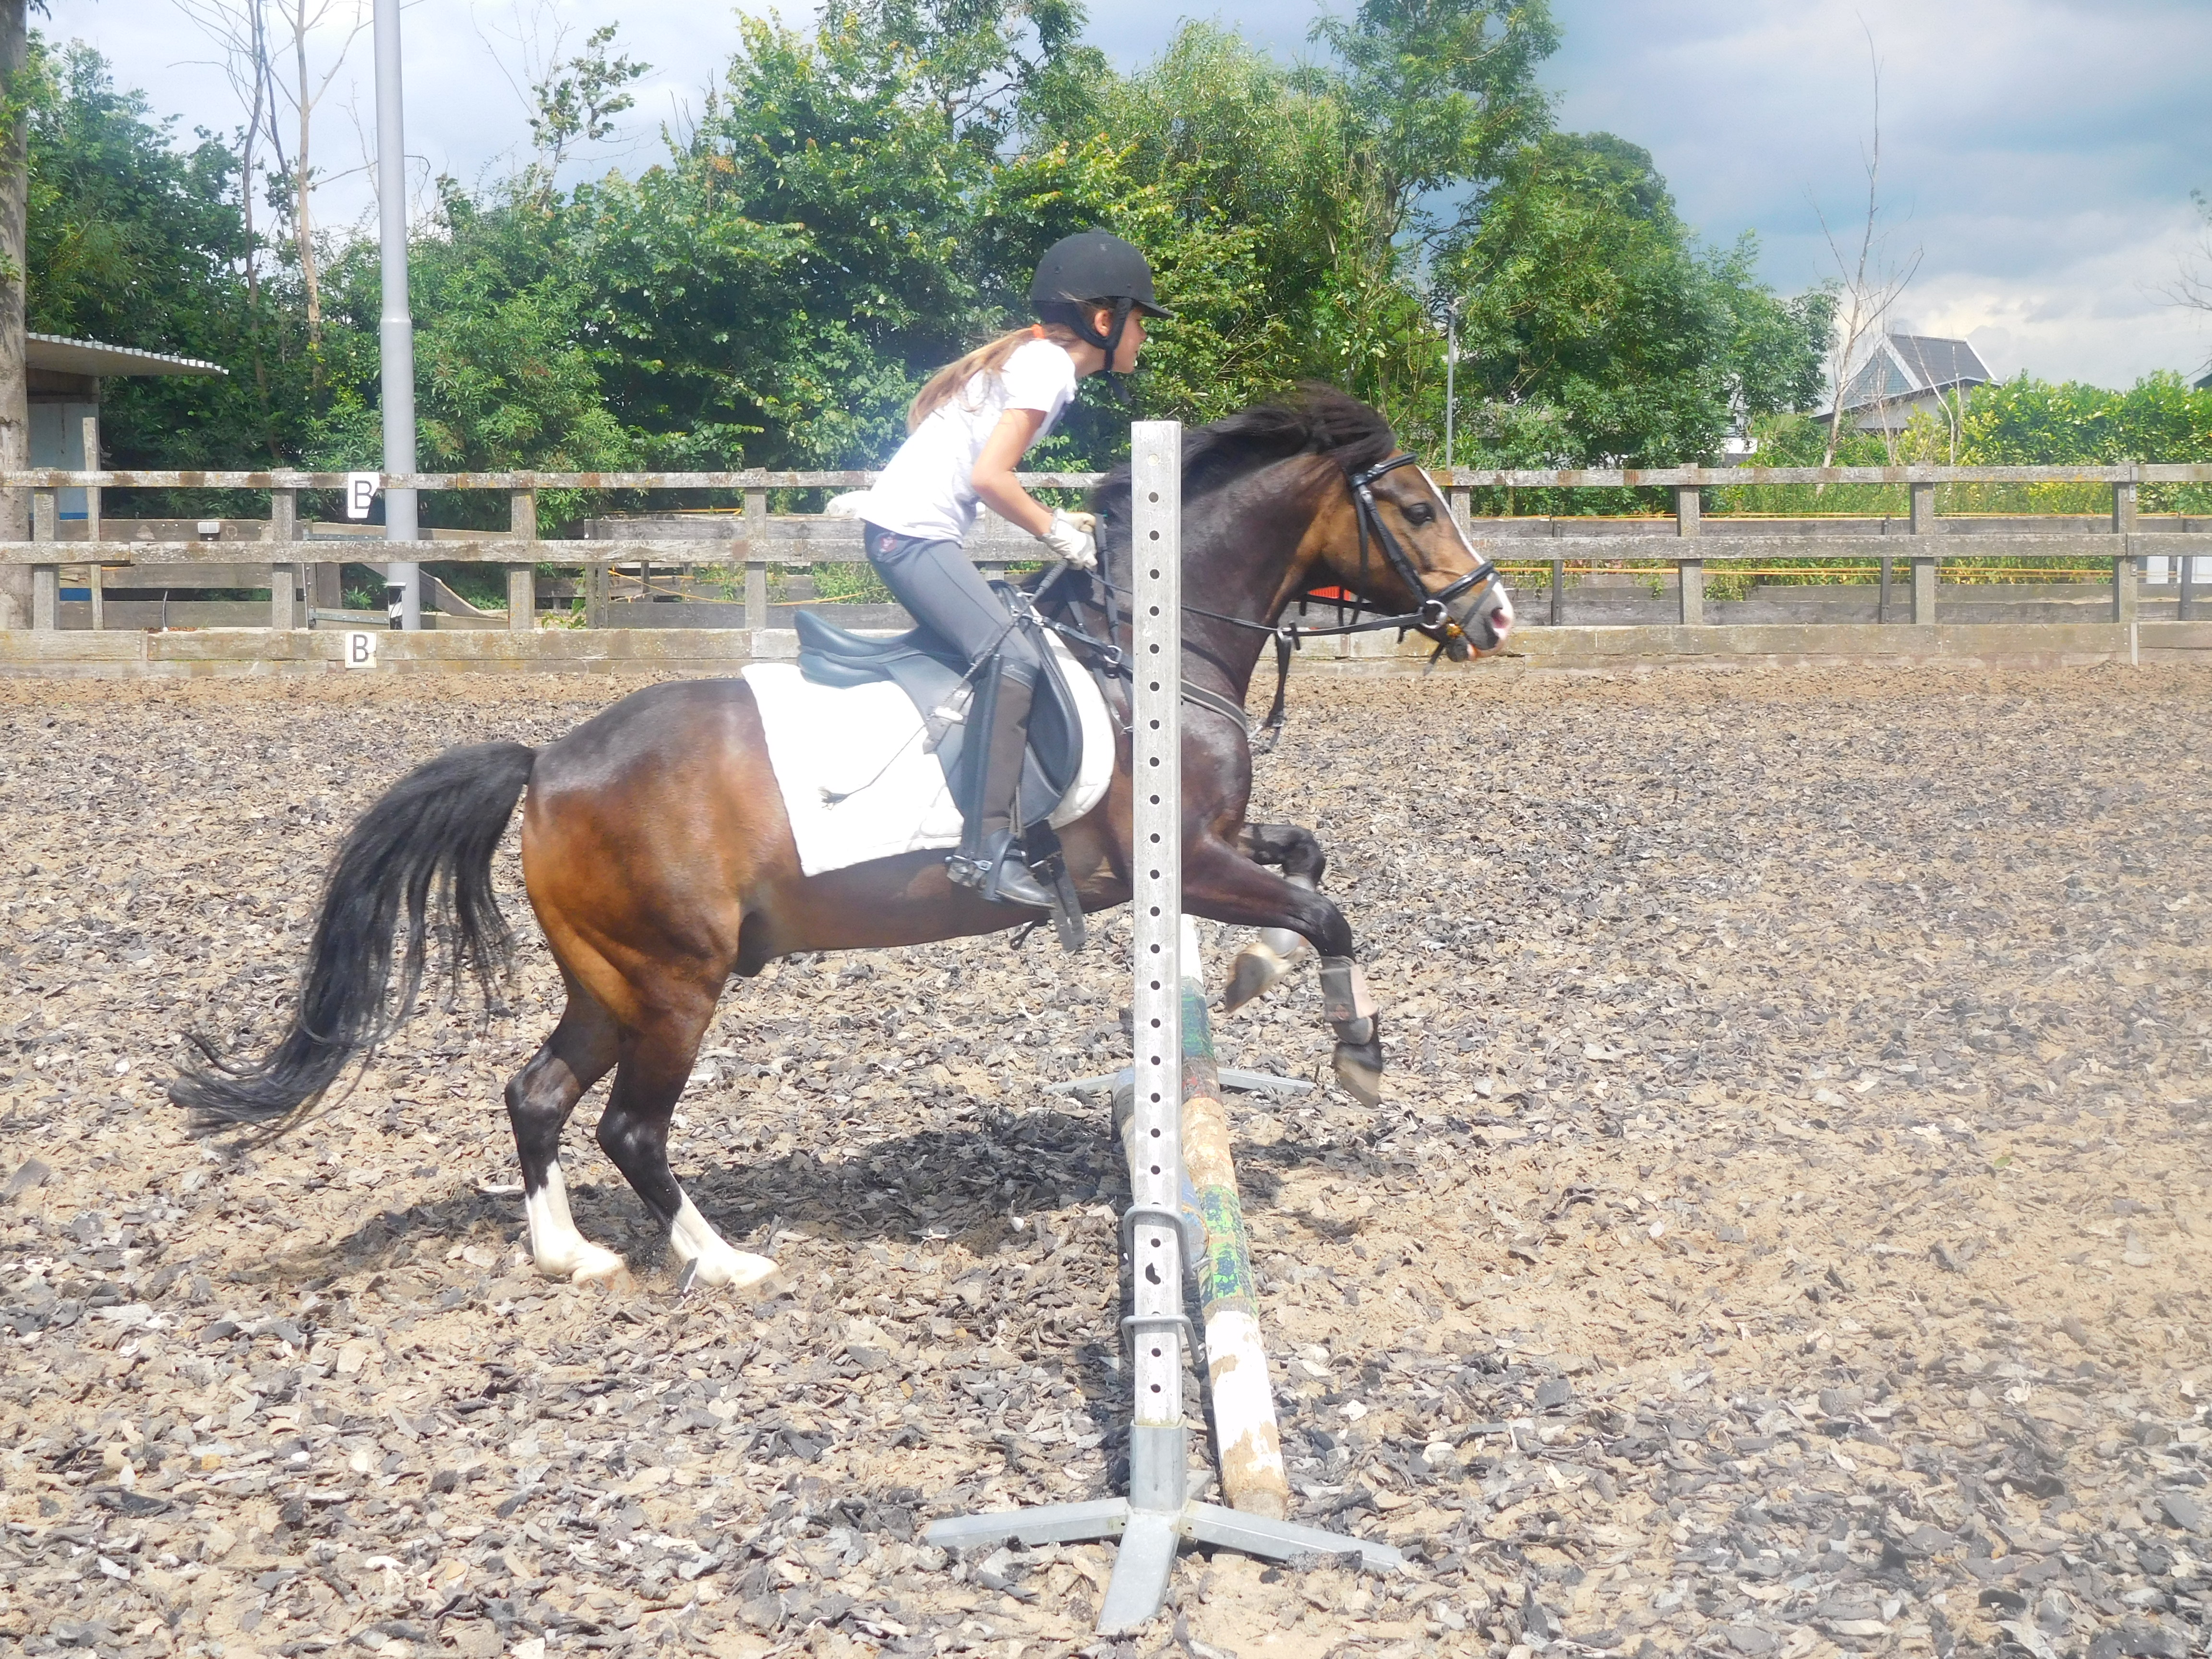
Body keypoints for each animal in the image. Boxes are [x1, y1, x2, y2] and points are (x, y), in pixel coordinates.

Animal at [171, 389, 1515, 1292]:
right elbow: (1325, 909)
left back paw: (567, 1253)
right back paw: (724, 1260)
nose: (1493, 613)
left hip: (610, 979)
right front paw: (1353, 1049)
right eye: (1411, 505)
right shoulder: (1183, 862)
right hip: (679, 981)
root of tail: (546, 762)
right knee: (629, 1128)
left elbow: (1314, 861)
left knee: (538, 1091)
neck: (1155, 643)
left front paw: (1258, 980)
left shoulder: (1218, 844)